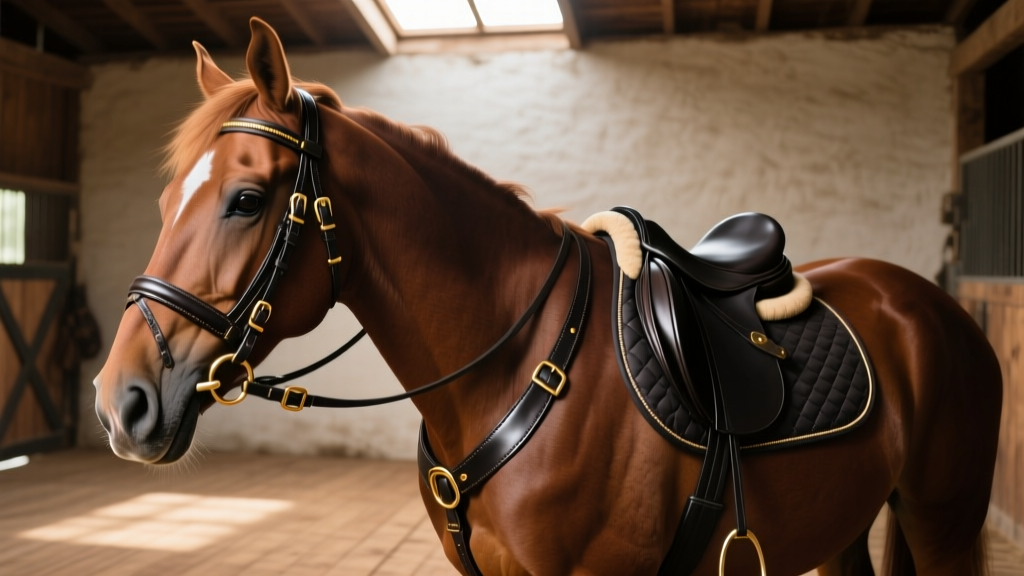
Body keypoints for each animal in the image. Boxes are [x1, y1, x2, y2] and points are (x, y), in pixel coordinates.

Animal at [93, 18, 1002, 576]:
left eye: (246, 200)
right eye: (166, 200)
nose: (119, 402)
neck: (521, 363)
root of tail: (931, 306)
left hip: (943, 519)